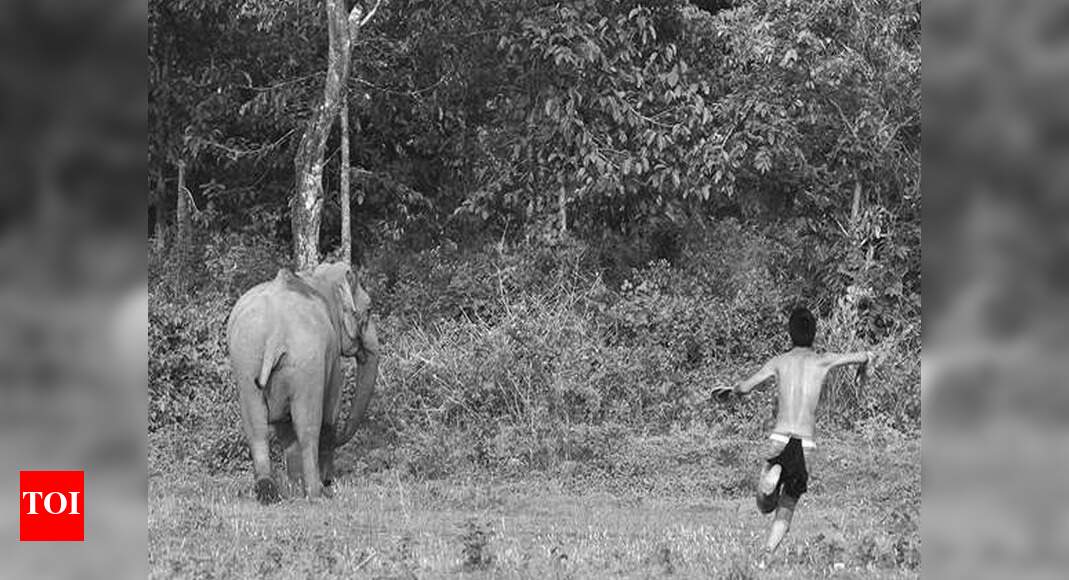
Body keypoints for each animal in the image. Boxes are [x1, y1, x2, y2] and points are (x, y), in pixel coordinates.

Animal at [226, 262, 380, 504]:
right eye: (370, 308)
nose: (329, 481)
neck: (314, 278)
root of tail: (274, 331)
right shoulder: (330, 357)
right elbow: (331, 408)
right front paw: (322, 486)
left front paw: (294, 489)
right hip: (308, 362)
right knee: (308, 426)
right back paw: (316, 494)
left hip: (246, 358)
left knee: (256, 425)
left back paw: (268, 493)